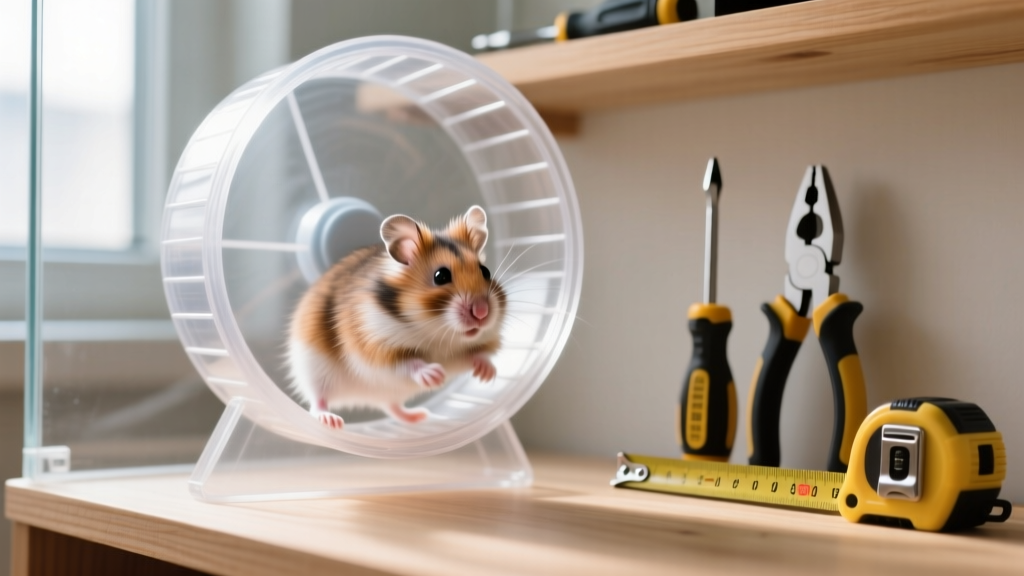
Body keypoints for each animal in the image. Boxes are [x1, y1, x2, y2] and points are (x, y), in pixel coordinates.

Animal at [287, 205, 505, 429]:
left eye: (485, 271)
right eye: (441, 276)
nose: (482, 313)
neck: (435, 332)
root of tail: (362, 398)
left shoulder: (461, 355)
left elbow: (476, 355)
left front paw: (487, 375)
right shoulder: (375, 347)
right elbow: (407, 364)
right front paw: (435, 376)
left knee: (391, 407)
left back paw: (418, 416)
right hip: (312, 368)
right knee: (317, 401)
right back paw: (332, 421)